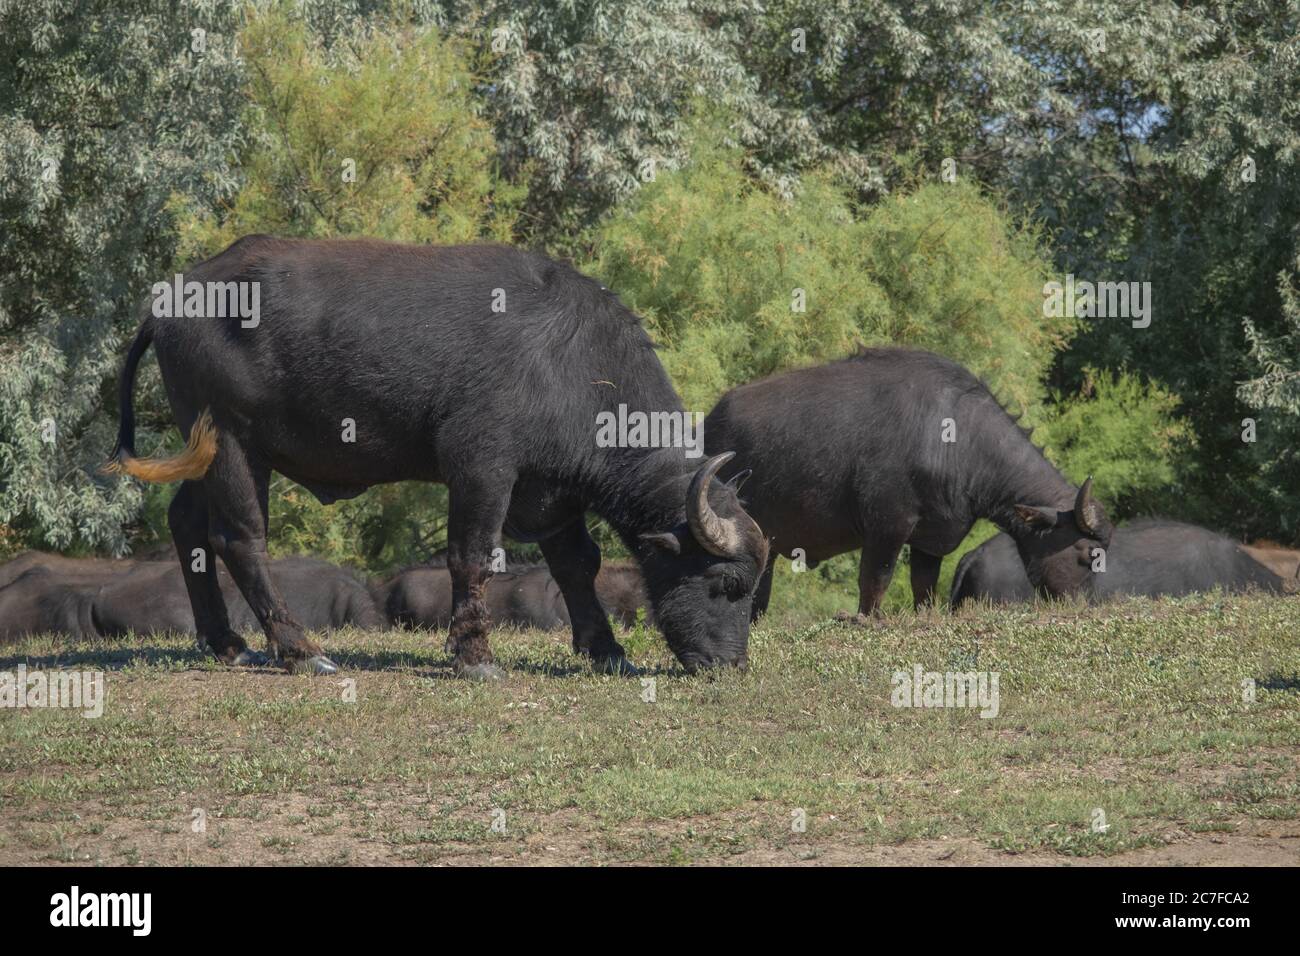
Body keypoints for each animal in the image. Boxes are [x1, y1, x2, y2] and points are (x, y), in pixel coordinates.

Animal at [106, 237, 766, 677]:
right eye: (727, 584)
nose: (730, 665)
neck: (569, 362)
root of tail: (174, 297)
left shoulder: (552, 494)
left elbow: (578, 564)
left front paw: (605, 649)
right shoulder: (481, 467)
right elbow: (472, 557)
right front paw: (474, 656)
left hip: (206, 451)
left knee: (186, 524)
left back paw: (226, 642)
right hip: (234, 444)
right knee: (240, 540)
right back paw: (300, 650)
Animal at [704, 348, 1112, 620]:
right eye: (1086, 554)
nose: (1082, 607)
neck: (958, 442)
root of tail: (708, 423)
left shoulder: (930, 540)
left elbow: (924, 589)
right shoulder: (888, 526)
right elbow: (875, 581)